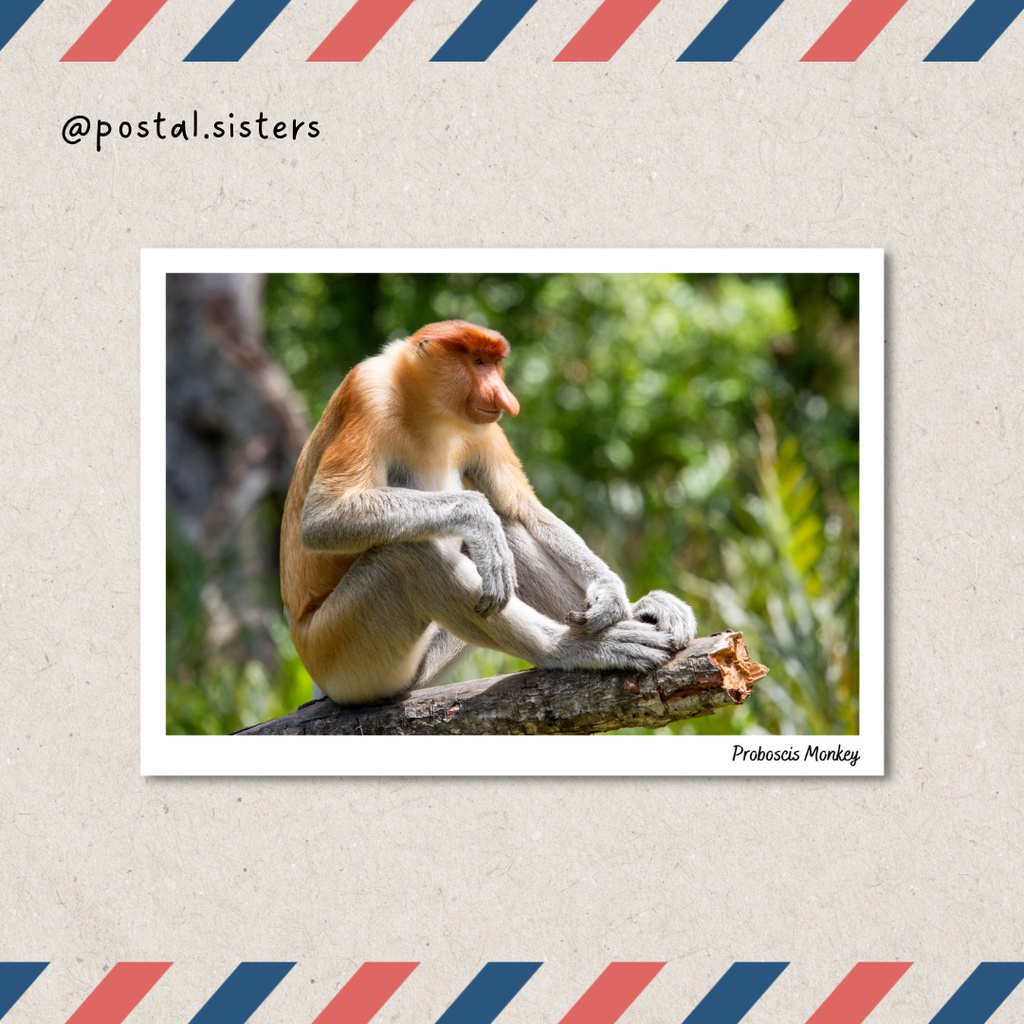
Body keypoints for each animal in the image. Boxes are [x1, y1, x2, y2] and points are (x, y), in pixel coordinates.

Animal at [280, 319, 697, 705]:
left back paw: (639, 615)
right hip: (343, 655)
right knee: (411, 558)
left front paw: (613, 594)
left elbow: (524, 509)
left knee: (505, 528)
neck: (425, 409)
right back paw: (571, 648)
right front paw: (479, 516)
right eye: (478, 362)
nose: (505, 398)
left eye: (496, 365)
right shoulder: (367, 392)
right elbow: (323, 518)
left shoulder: (480, 425)